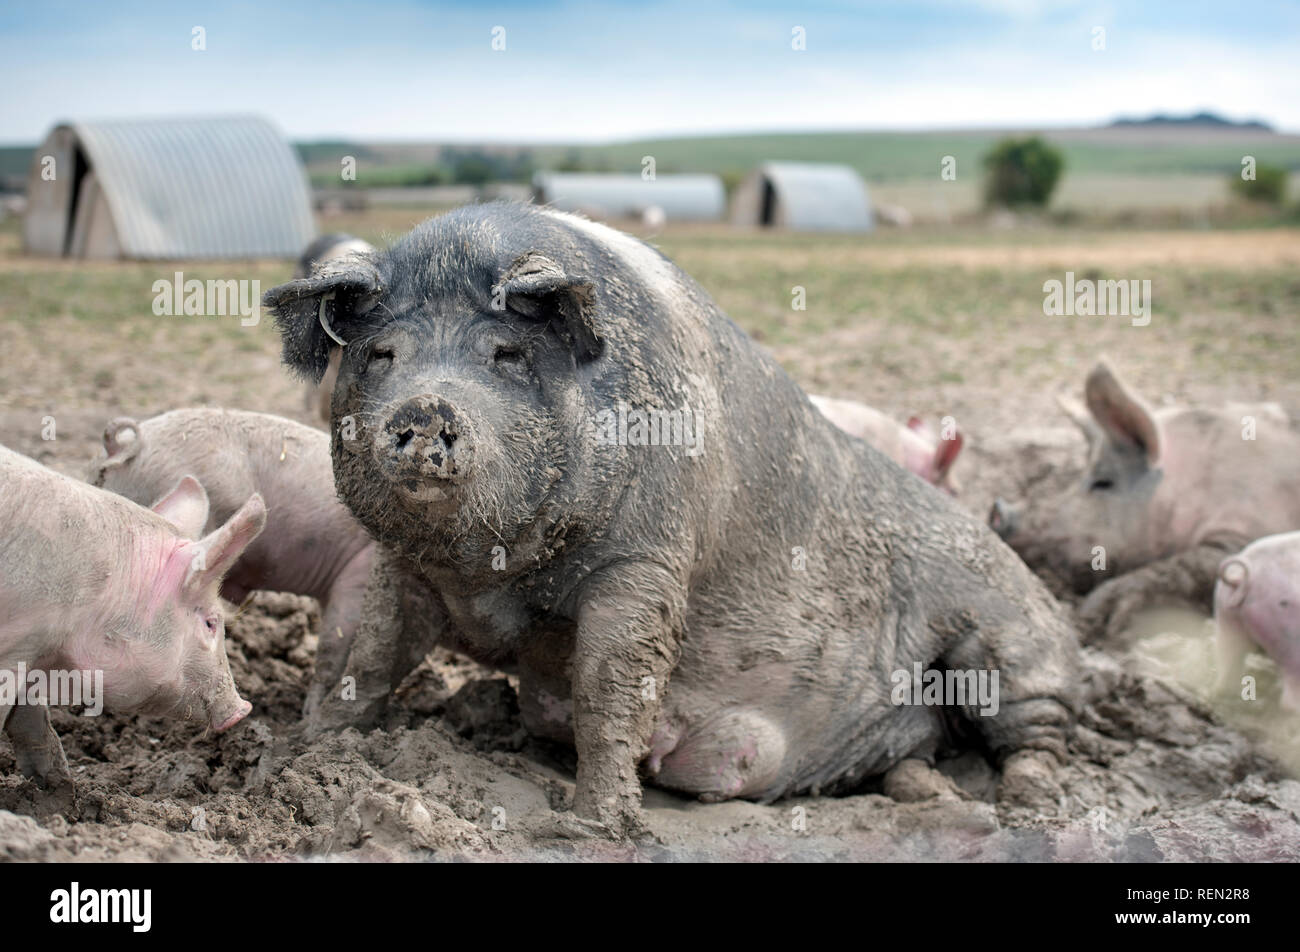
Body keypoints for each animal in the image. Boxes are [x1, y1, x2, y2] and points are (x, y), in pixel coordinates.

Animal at [0, 444, 263, 791]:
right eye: (211, 622)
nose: (243, 709)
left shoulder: (33, 648)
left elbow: (31, 719)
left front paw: (60, 790)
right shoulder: (17, 644)